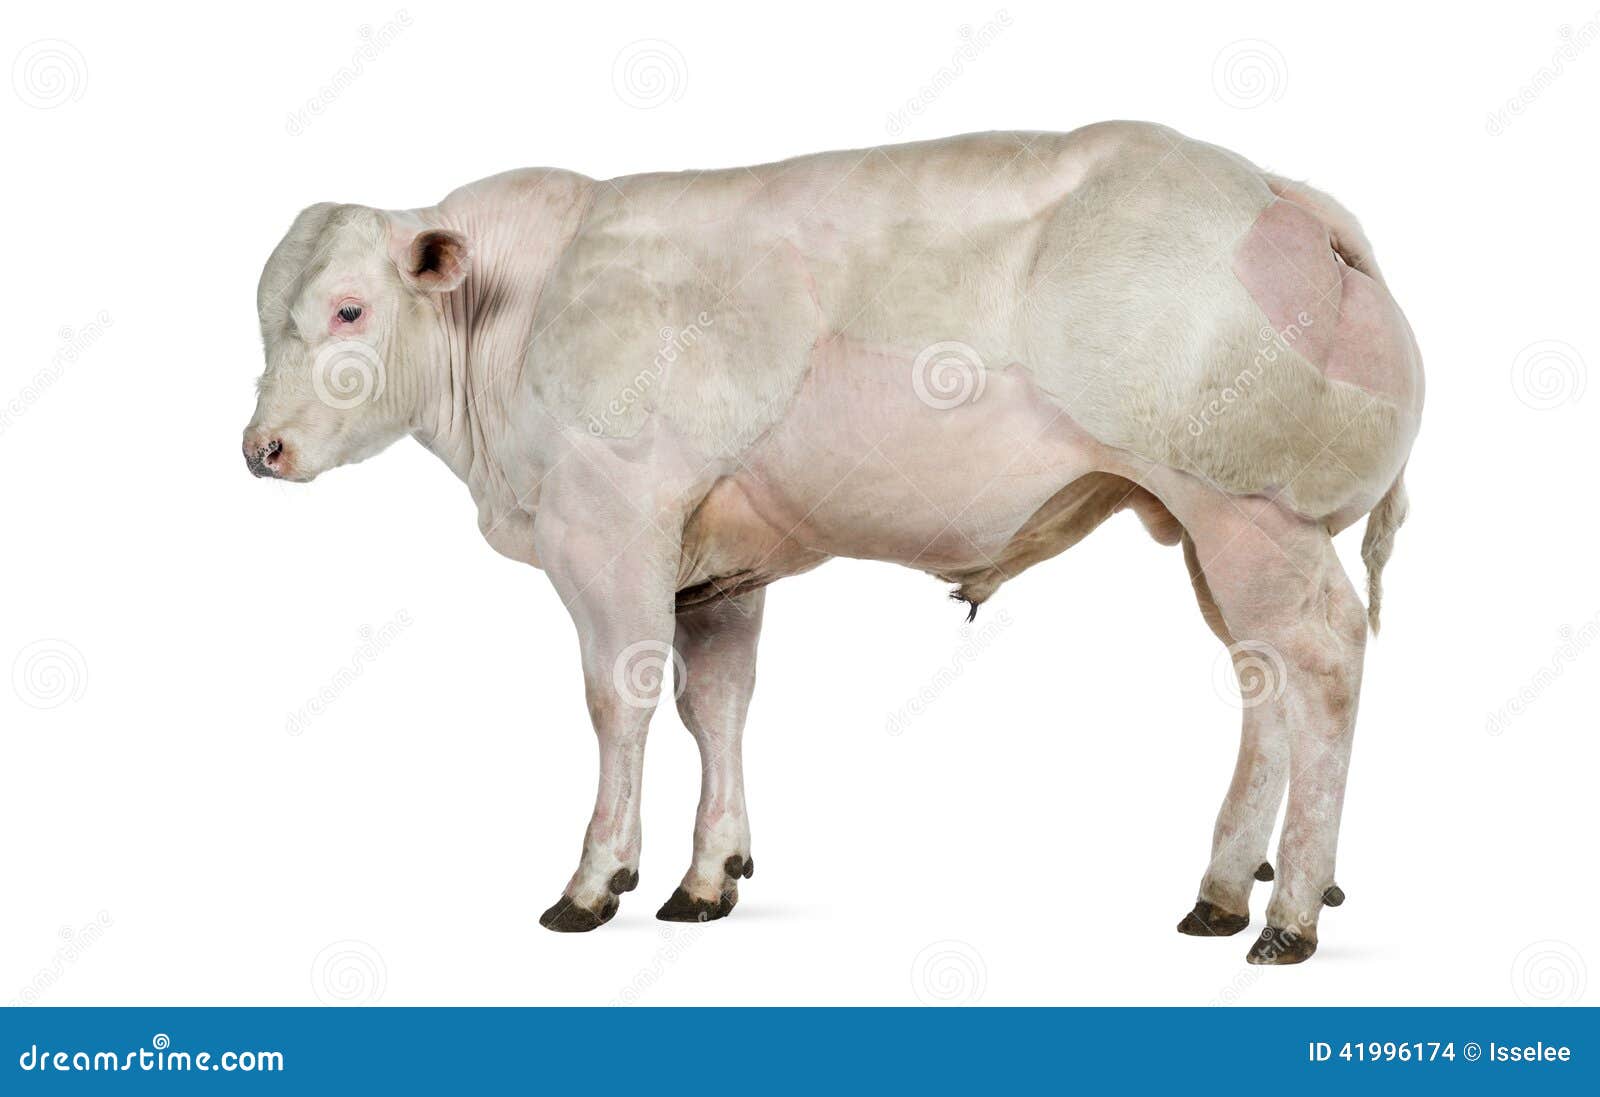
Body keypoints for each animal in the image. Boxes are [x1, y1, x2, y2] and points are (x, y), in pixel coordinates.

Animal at [243, 122, 1422, 964]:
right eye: (264, 318)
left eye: (349, 310)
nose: (263, 446)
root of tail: (1280, 191)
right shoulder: (718, 562)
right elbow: (716, 704)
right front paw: (707, 873)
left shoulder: (609, 521)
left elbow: (619, 700)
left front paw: (594, 880)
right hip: (1223, 532)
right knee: (1263, 675)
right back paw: (1226, 889)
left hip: (1248, 509)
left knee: (1322, 662)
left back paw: (1291, 911)